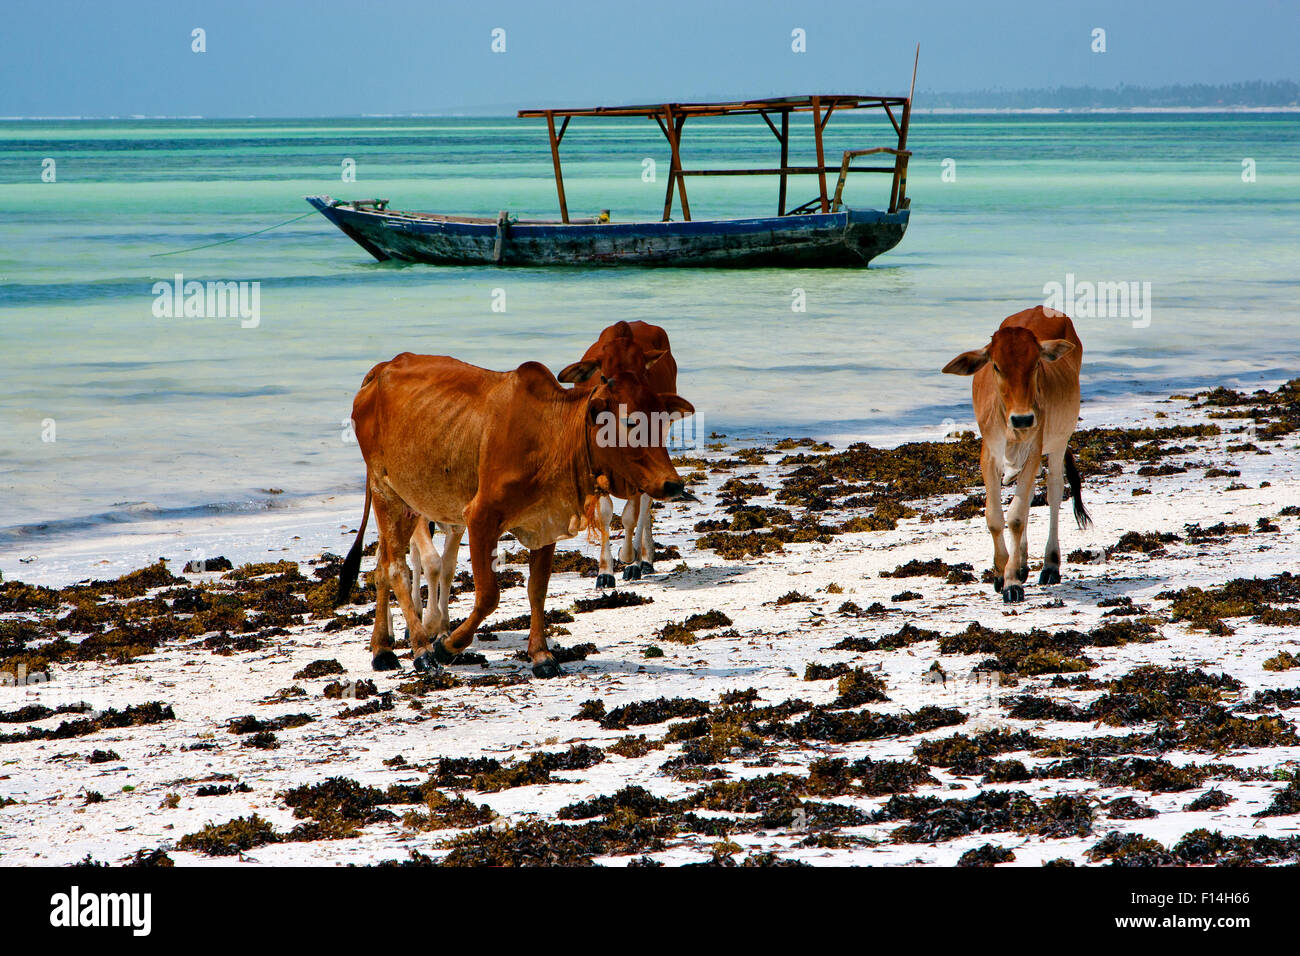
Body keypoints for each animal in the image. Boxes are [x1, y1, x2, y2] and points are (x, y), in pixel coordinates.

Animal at [558, 321, 682, 588]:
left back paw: (641, 560)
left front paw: (628, 557)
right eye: (605, 377)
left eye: (641, 374)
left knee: (645, 505)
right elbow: (605, 515)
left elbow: (630, 516)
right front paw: (605, 572)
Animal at [942, 306, 1092, 602]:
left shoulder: (1034, 448)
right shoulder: (989, 454)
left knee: (1053, 490)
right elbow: (995, 518)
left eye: (1035, 365)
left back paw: (1050, 565)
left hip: (1059, 441)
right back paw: (1022, 563)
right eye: (996, 366)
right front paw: (1002, 573)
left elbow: (1016, 516)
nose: (1023, 419)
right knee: (1032, 494)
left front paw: (1011, 580)